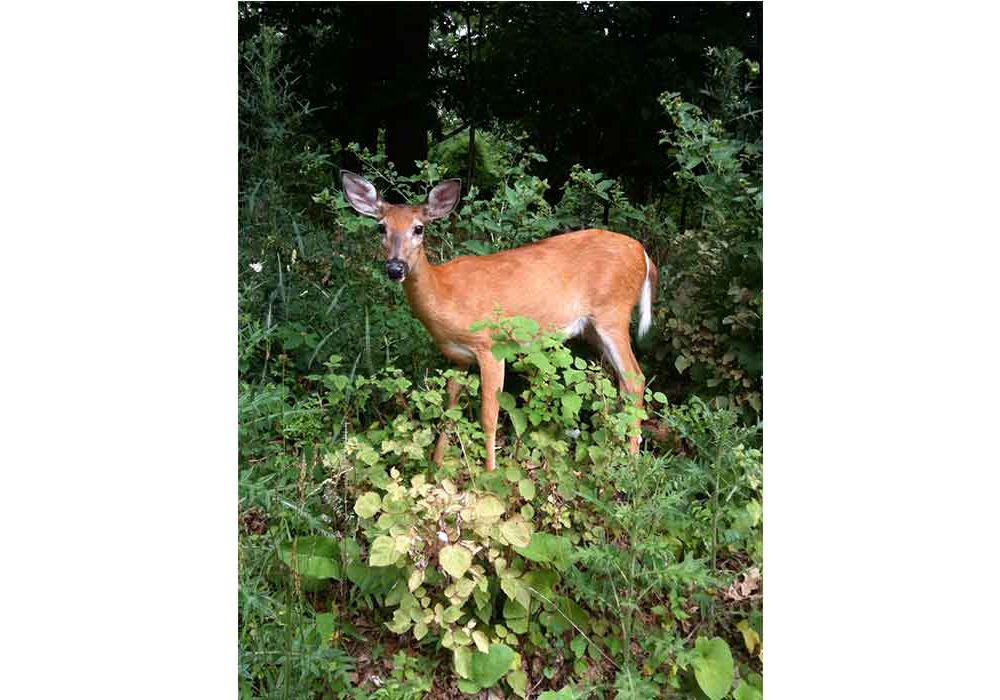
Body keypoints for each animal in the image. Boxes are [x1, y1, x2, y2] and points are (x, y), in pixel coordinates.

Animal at [341, 170, 658, 472]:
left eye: (418, 228)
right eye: (381, 227)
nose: (396, 268)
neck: (444, 293)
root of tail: (643, 254)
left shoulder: (491, 346)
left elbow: (489, 417)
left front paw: (489, 475)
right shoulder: (457, 357)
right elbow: (449, 409)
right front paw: (436, 466)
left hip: (613, 312)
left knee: (635, 378)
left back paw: (630, 461)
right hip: (592, 328)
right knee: (619, 382)